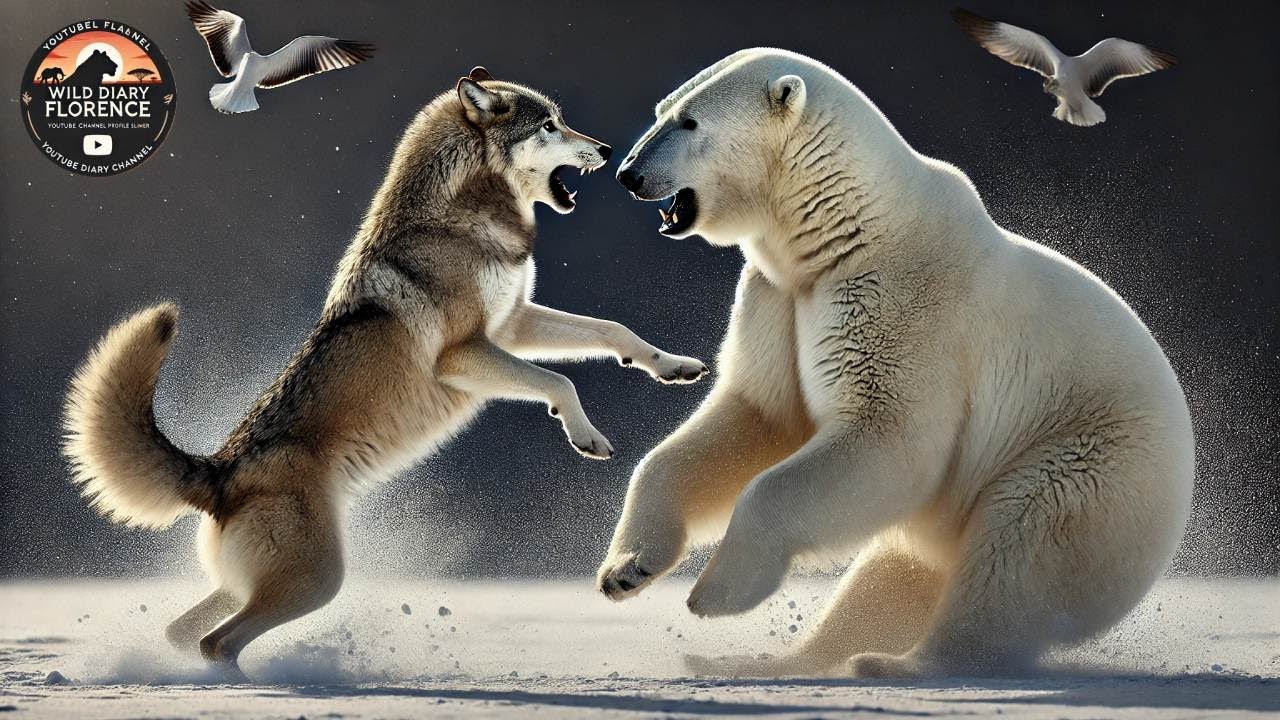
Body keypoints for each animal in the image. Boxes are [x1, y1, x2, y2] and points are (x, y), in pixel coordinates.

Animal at [64, 66, 706, 678]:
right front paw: (585, 437)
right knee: (212, 642)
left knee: (181, 632)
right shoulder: (463, 354)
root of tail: (219, 471)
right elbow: (560, 381)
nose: (607, 152)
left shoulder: (513, 325)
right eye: (549, 125)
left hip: (260, 581)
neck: (459, 217)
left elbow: (611, 331)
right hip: (317, 580)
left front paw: (672, 367)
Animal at [597, 48, 1195, 678]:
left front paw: (715, 593)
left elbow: (890, 438)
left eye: (690, 122)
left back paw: (901, 663)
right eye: (662, 110)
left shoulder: (904, 306)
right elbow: (756, 417)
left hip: (1090, 467)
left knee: (1017, 552)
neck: (850, 227)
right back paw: (767, 660)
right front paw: (626, 570)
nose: (628, 174)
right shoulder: (779, 297)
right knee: (893, 577)